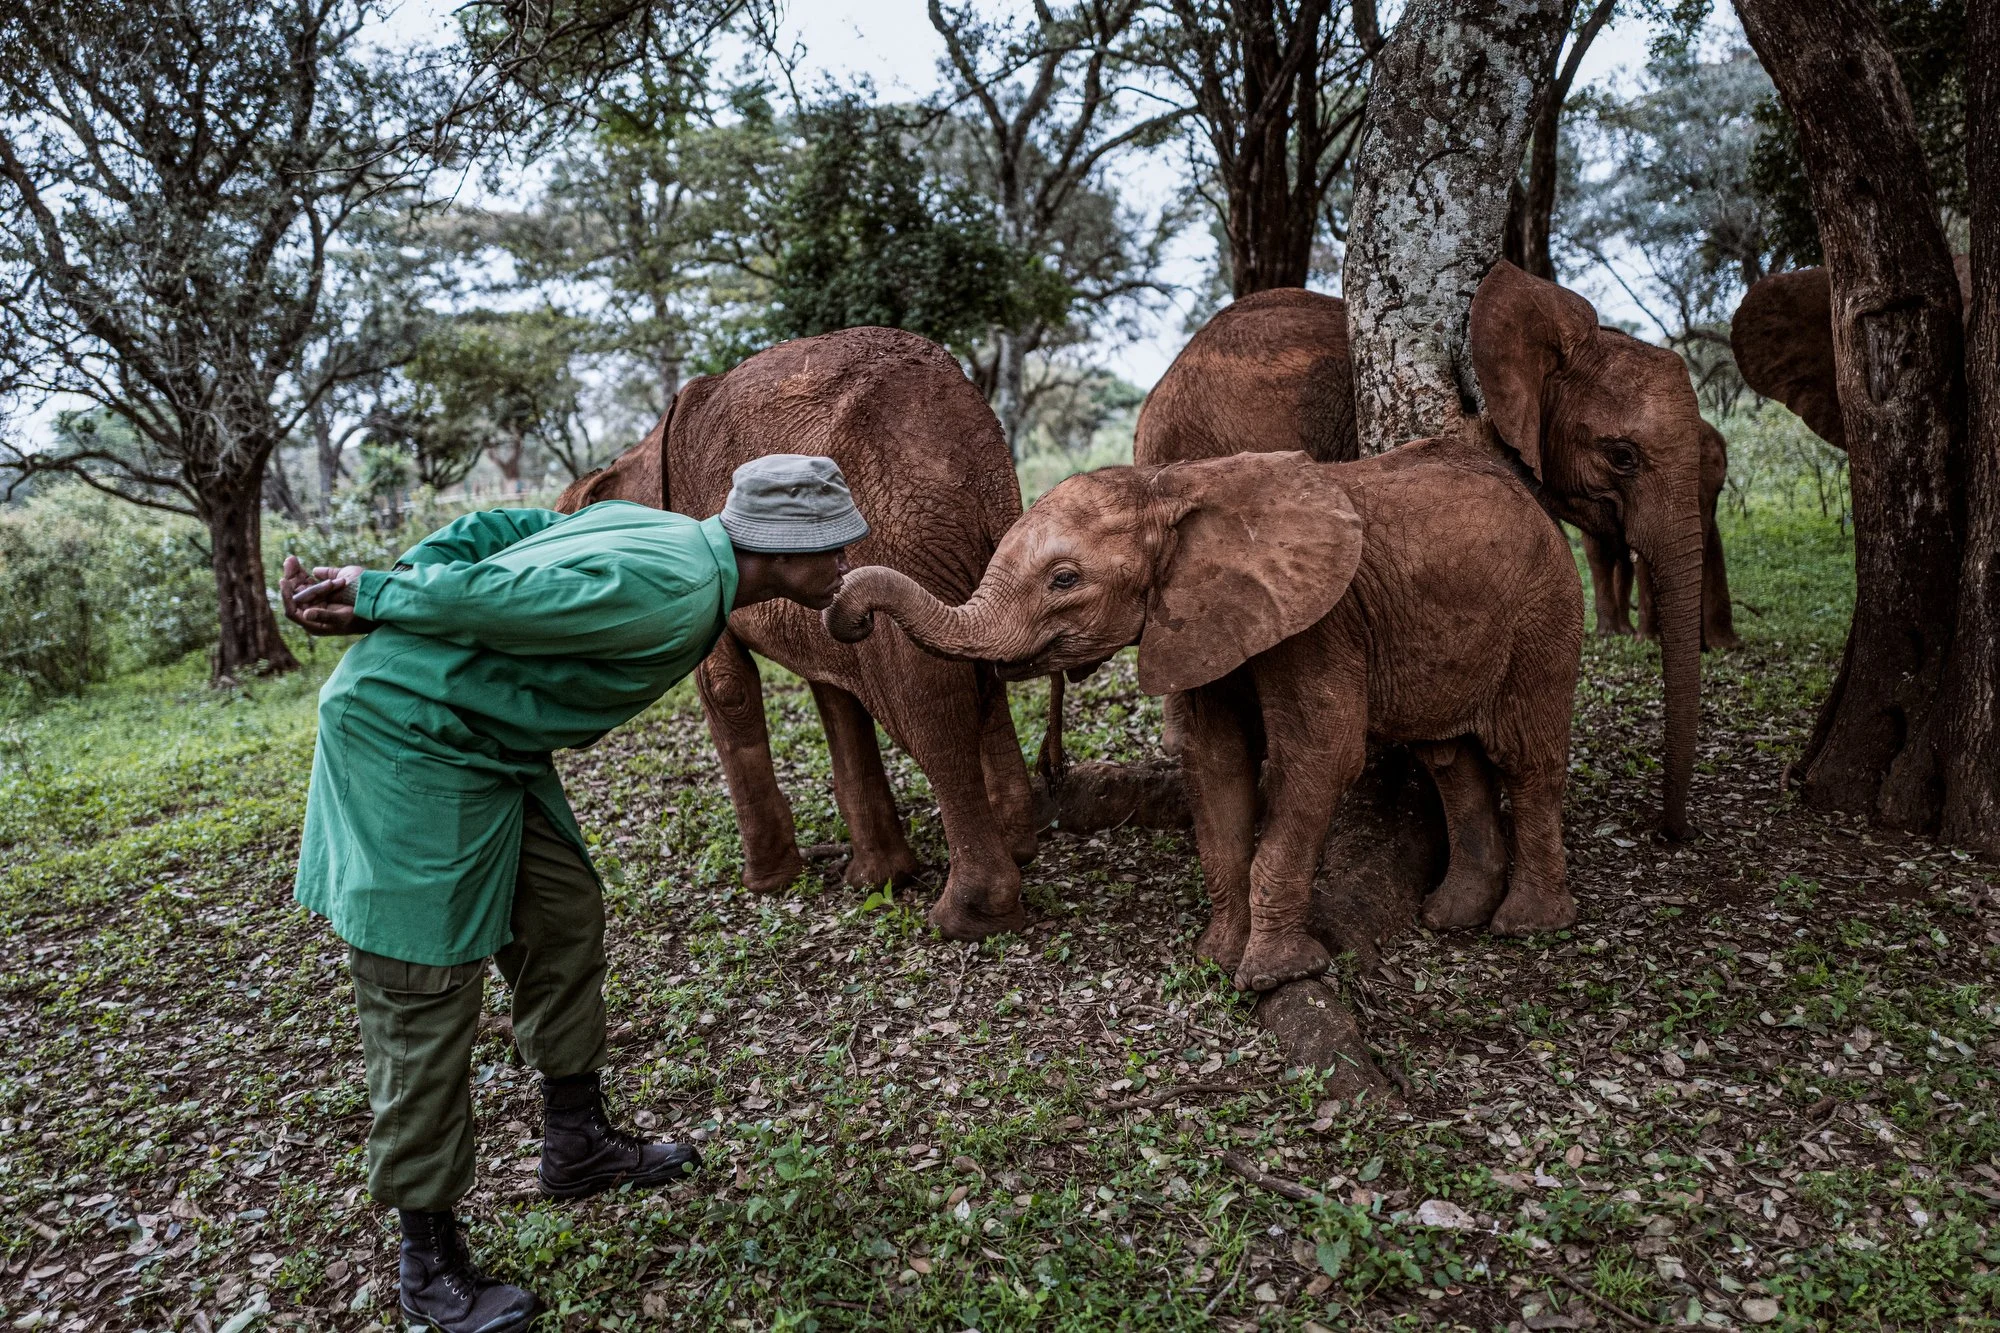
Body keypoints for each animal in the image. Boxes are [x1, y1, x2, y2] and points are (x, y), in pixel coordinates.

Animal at [557, 326, 1039, 940]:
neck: (631, 454)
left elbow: (726, 686)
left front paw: (767, 886)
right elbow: (833, 694)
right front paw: (876, 880)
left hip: (896, 536)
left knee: (926, 700)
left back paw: (967, 918)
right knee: (979, 676)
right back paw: (1019, 847)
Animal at [826, 439, 1585, 992]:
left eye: (1065, 580)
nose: (845, 614)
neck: (1169, 486)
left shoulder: (1322, 620)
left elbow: (1321, 754)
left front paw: (1274, 976)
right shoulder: (1200, 618)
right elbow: (1214, 762)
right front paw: (1216, 959)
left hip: (1545, 609)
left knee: (1527, 756)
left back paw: (1526, 926)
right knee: (1451, 757)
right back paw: (1453, 917)